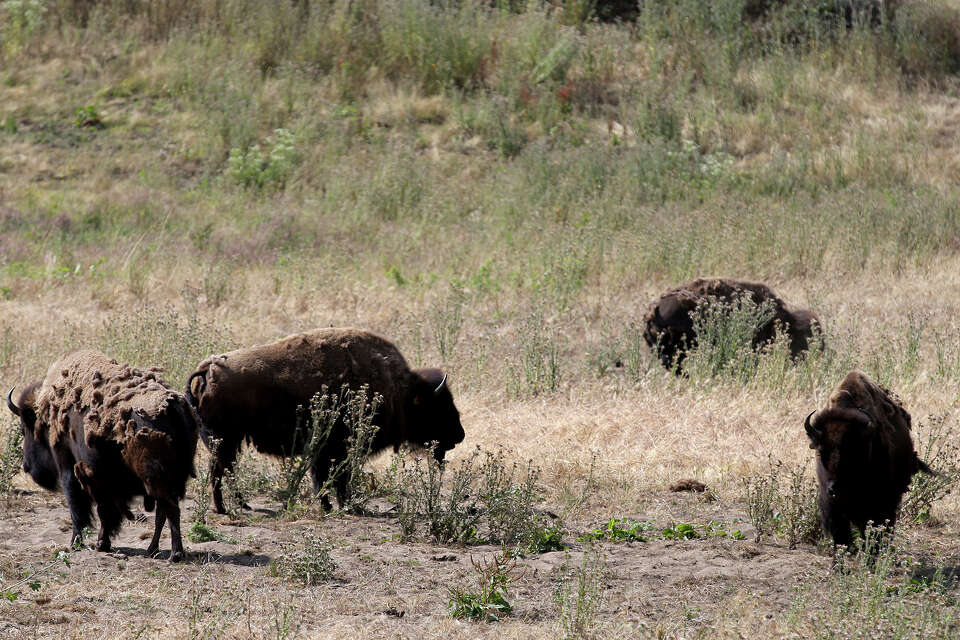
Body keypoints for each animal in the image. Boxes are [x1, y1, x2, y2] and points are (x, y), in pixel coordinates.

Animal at [6, 351, 198, 561]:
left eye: (24, 429)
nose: (26, 467)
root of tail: (173, 406)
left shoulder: (72, 469)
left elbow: (82, 508)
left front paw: (80, 543)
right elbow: (107, 511)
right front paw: (101, 543)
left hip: (155, 479)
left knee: (170, 510)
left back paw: (175, 554)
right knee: (163, 513)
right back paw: (152, 549)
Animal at [185, 328, 465, 514]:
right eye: (439, 407)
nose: (460, 435)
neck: (399, 391)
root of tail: (207, 369)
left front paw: (331, 504)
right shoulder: (332, 450)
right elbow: (334, 477)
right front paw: (338, 505)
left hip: (228, 442)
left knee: (225, 470)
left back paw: (241, 505)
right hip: (226, 440)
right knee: (220, 471)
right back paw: (225, 508)